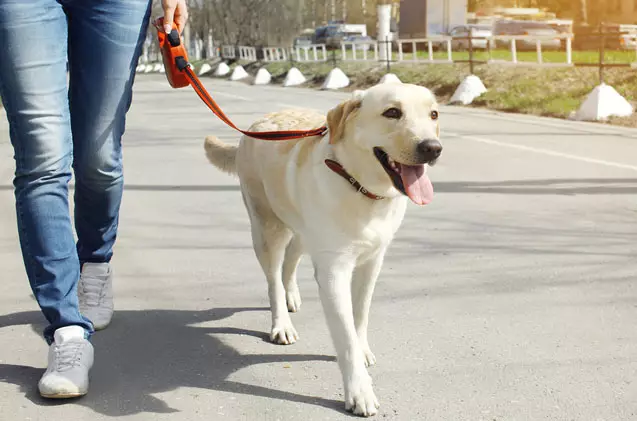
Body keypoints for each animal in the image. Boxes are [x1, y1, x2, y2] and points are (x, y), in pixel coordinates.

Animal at [205, 83, 442, 416]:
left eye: (433, 114)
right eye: (392, 112)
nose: (433, 148)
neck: (360, 188)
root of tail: (256, 124)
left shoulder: (372, 262)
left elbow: (360, 315)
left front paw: (362, 348)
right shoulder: (334, 271)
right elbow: (345, 336)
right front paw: (360, 391)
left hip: (304, 229)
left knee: (291, 258)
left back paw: (291, 295)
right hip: (267, 228)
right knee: (273, 277)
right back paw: (282, 323)